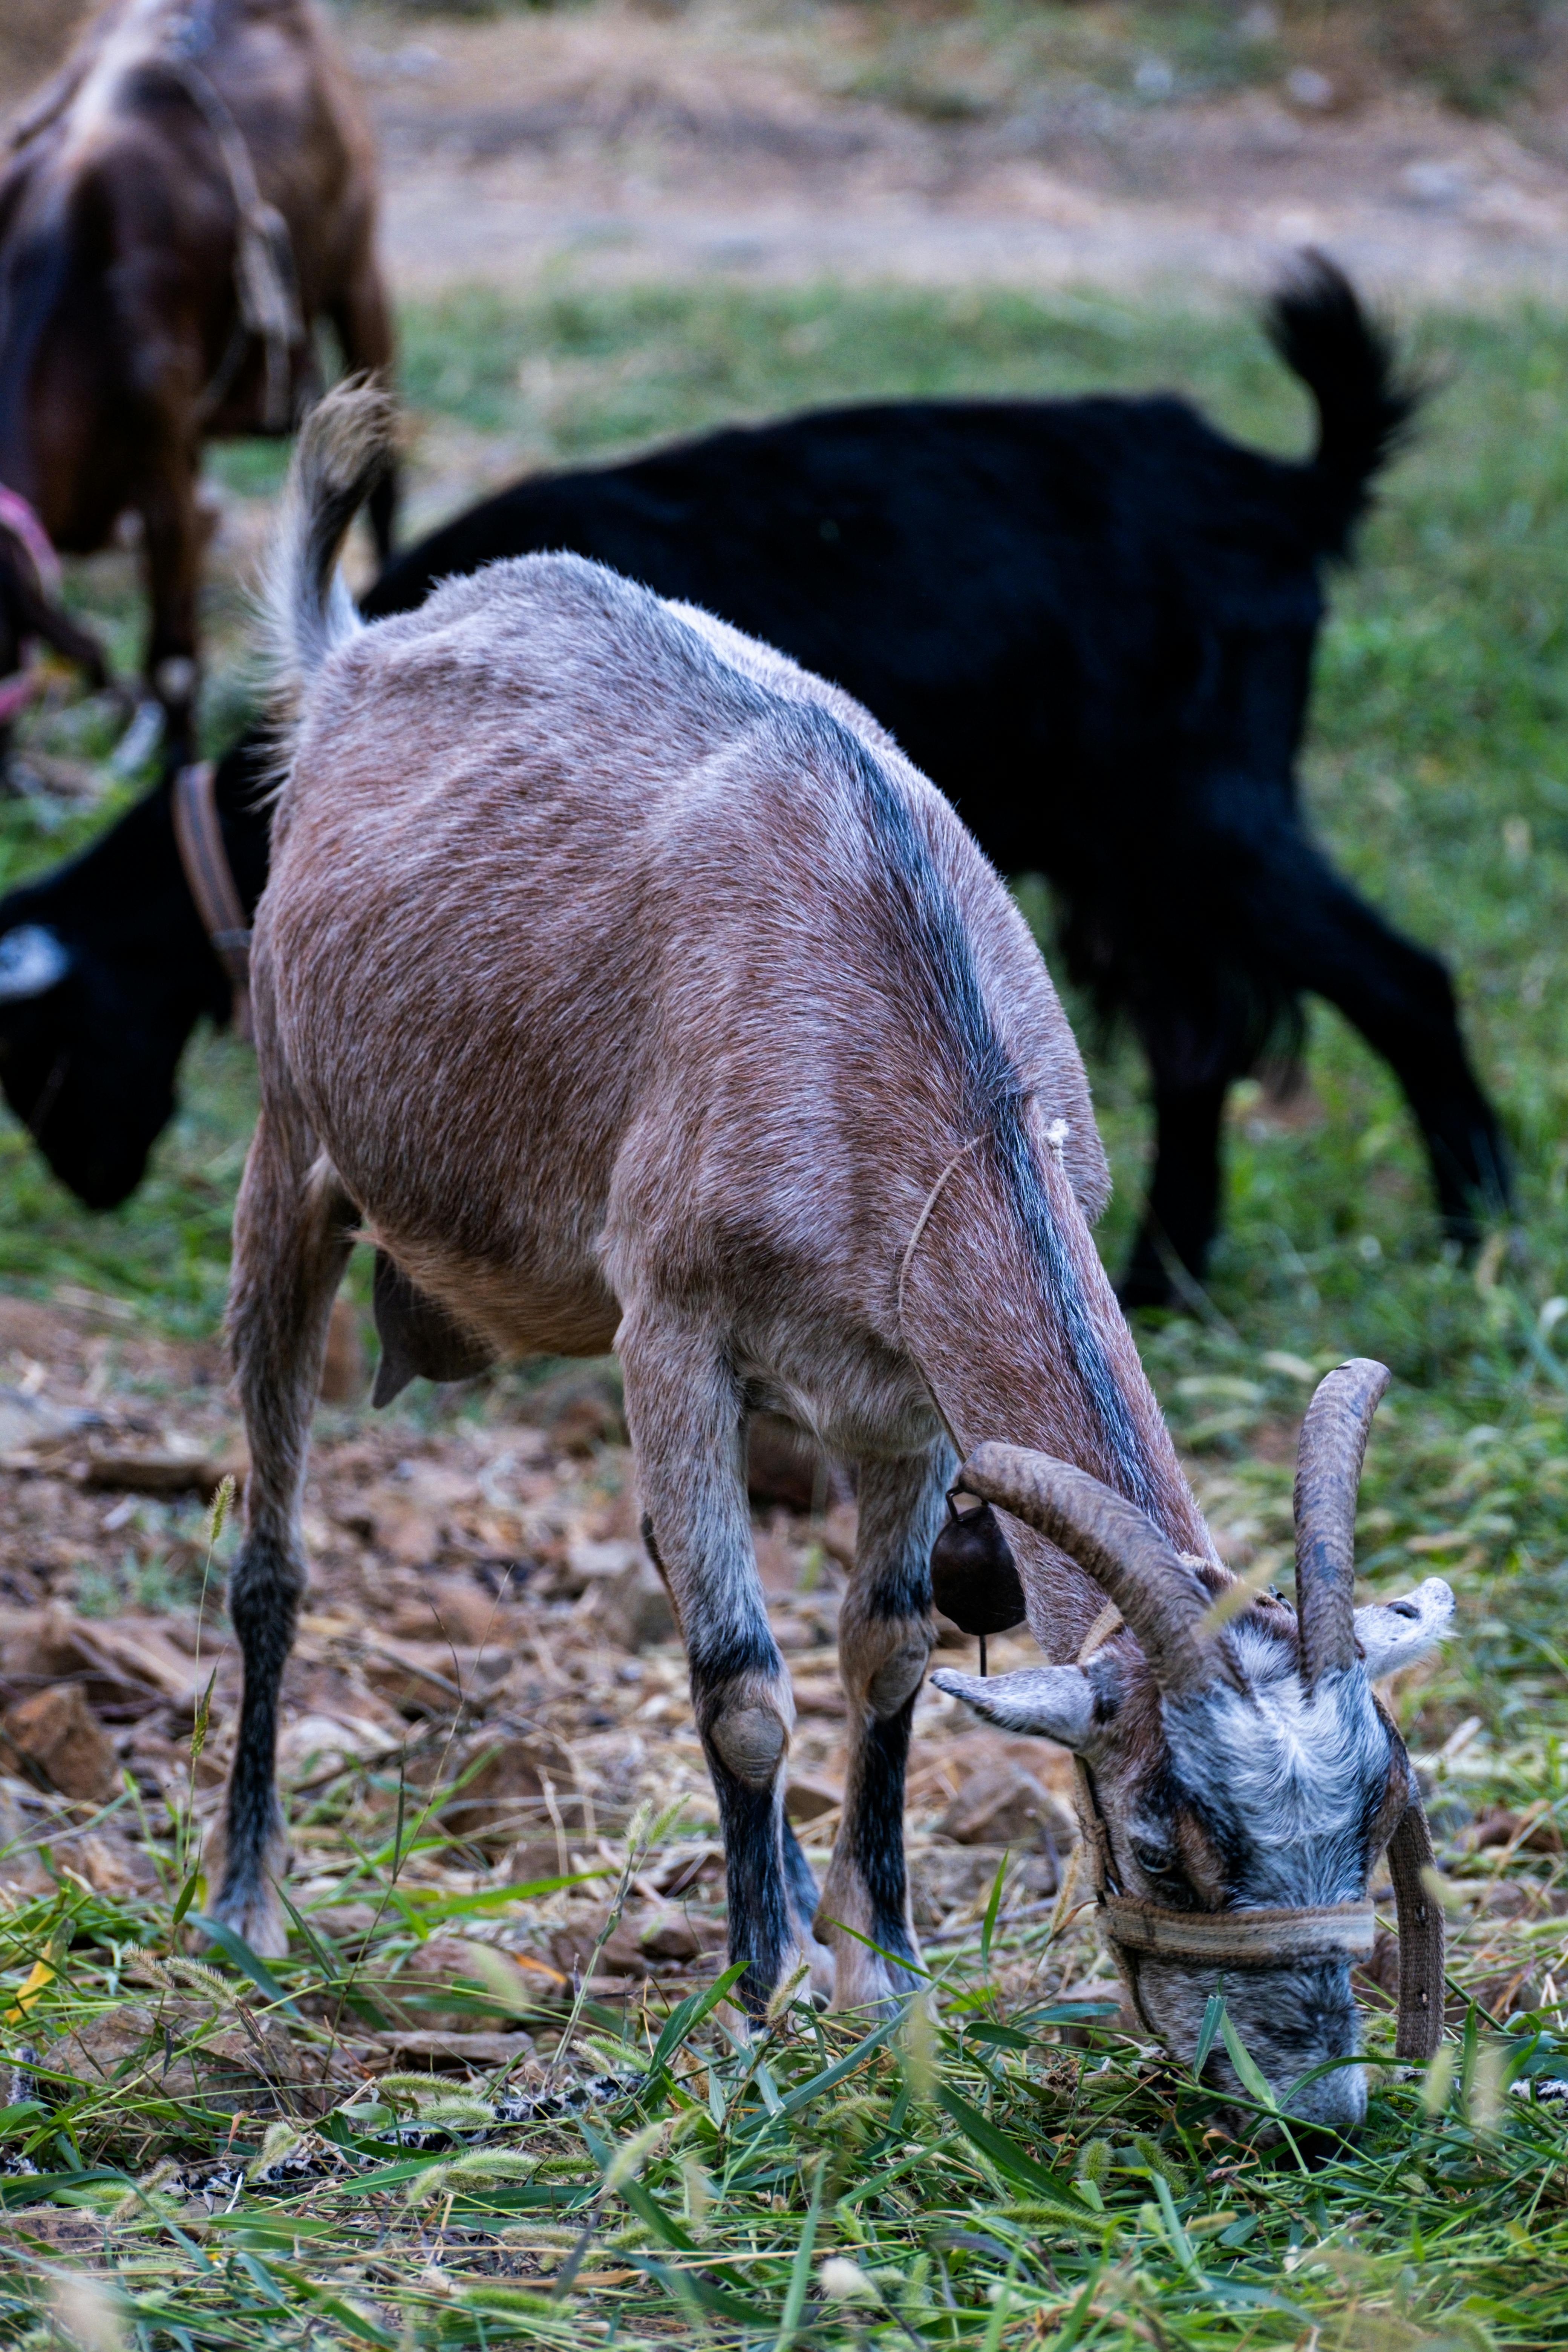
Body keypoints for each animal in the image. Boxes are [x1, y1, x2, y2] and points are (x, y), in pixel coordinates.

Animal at [0, 257, 1505, 1302]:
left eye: (39, 1061)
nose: (86, 1186)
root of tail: (1283, 490)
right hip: (1129, 857)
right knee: (1198, 1042)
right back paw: (1162, 1276)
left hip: (1202, 818)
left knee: (1398, 978)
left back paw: (1476, 1223)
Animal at [216, 384, 1453, 2130]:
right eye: (1161, 1833)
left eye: (1376, 1810)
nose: (1314, 2107)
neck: (901, 1022)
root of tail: (355, 654)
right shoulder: (667, 1324)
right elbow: (740, 1679)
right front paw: (756, 1991)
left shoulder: (901, 1397)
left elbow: (886, 1656)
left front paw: (884, 1972)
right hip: (290, 1145)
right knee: (273, 1553)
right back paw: (245, 1908)